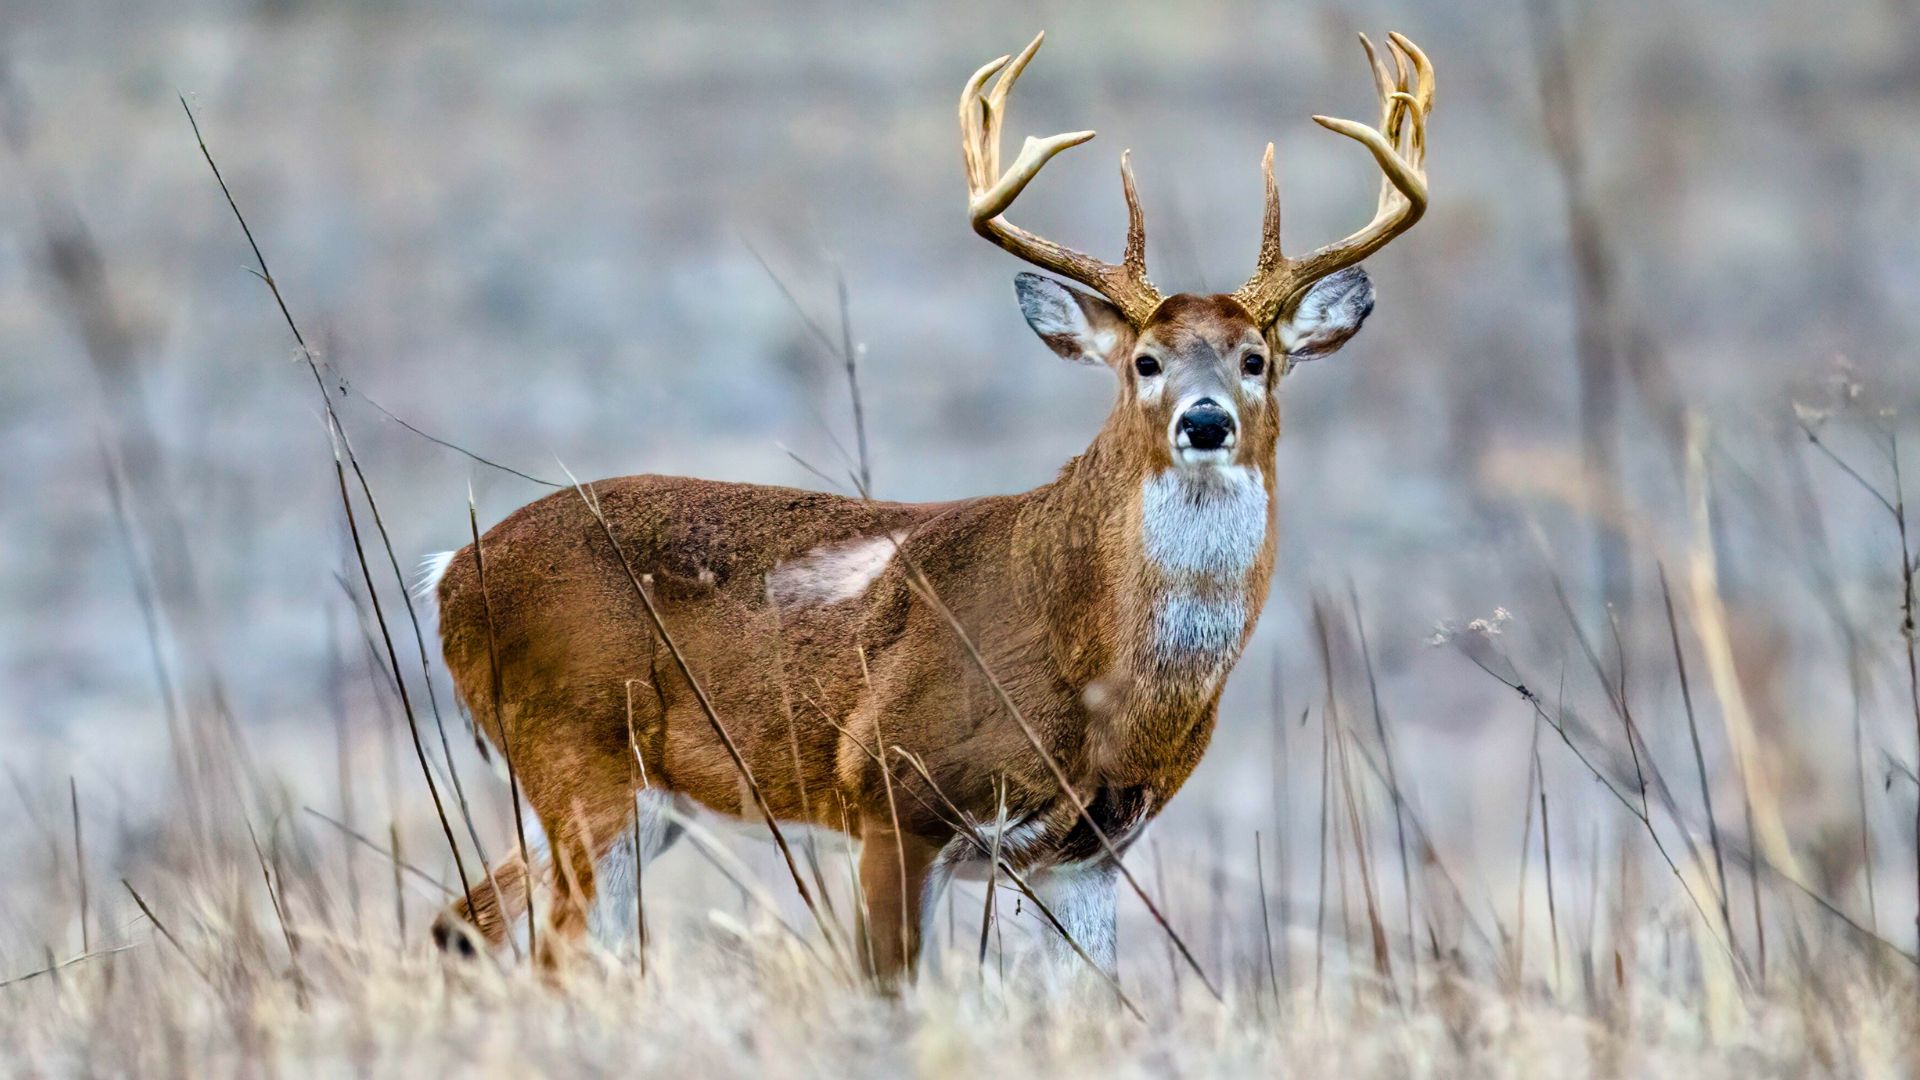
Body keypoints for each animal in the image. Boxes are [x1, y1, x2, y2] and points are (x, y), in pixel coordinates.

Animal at [422, 30, 1433, 983]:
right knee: (558, 958)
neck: (1097, 669)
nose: (1207, 420)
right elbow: (888, 988)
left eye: (1257, 359)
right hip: (582, 758)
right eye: (1145, 361)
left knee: (462, 922)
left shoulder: (1089, 855)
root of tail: (449, 574)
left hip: (634, 795)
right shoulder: (892, 791)